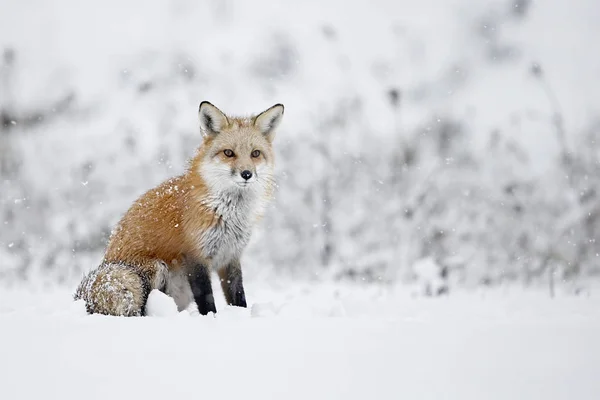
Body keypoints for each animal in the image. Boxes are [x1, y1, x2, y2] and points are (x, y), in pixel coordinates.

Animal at [74, 101, 284, 318]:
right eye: (228, 153)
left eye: (255, 154)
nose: (247, 174)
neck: (227, 213)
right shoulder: (194, 255)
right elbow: (206, 299)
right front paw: (211, 318)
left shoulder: (231, 256)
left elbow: (238, 295)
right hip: (152, 269)